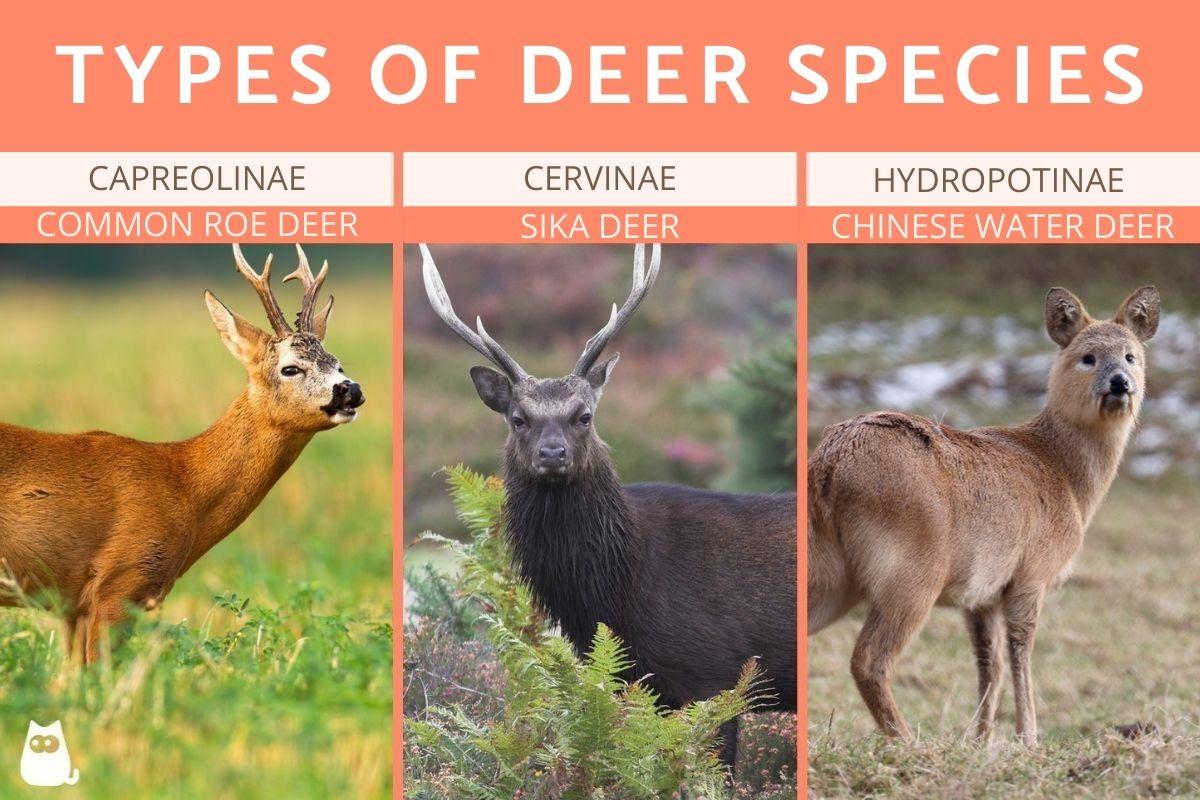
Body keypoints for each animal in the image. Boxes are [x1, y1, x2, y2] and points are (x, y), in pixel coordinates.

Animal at [0, 244, 365, 664]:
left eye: (338, 363)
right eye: (291, 368)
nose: (351, 390)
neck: (184, 484)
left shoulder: (73, 606)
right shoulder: (119, 582)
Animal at [808, 285, 1160, 746]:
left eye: (1131, 355)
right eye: (1088, 357)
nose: (1121, 382)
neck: (1065, 476)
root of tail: (828, 466)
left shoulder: (980, 593)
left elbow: (988, 662)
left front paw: (980, 740)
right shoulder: (1031, 572)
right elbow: (1020, 652)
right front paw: (1028, 738)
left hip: (829, 571)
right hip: (911, 571)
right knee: (868, 659)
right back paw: (908, 741)